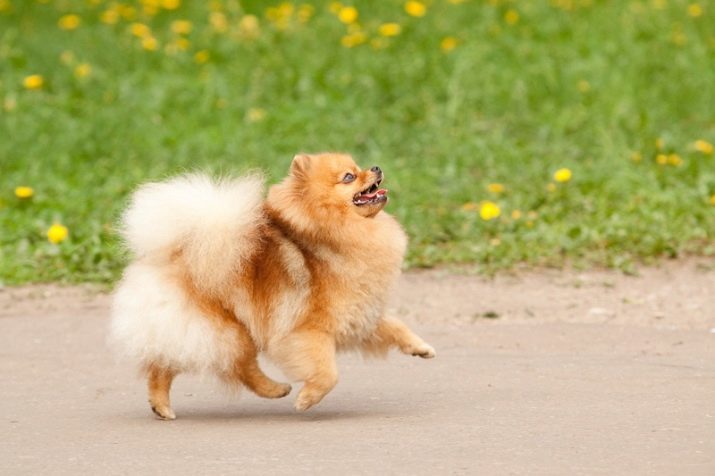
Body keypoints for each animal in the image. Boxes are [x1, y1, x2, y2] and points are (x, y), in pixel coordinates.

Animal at [112, 152, 436, 416]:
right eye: (349, 176)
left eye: (359, 167)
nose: (376, 167)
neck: (335, 232)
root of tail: (173, 251)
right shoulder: (305, 331)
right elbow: (328, 373)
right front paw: (308, 399)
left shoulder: (359, 315)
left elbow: (395, 326)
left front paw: (421, 347)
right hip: (228, 329)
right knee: (235, 366)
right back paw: (274, 390)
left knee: (176, 363)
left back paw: (163, 406)